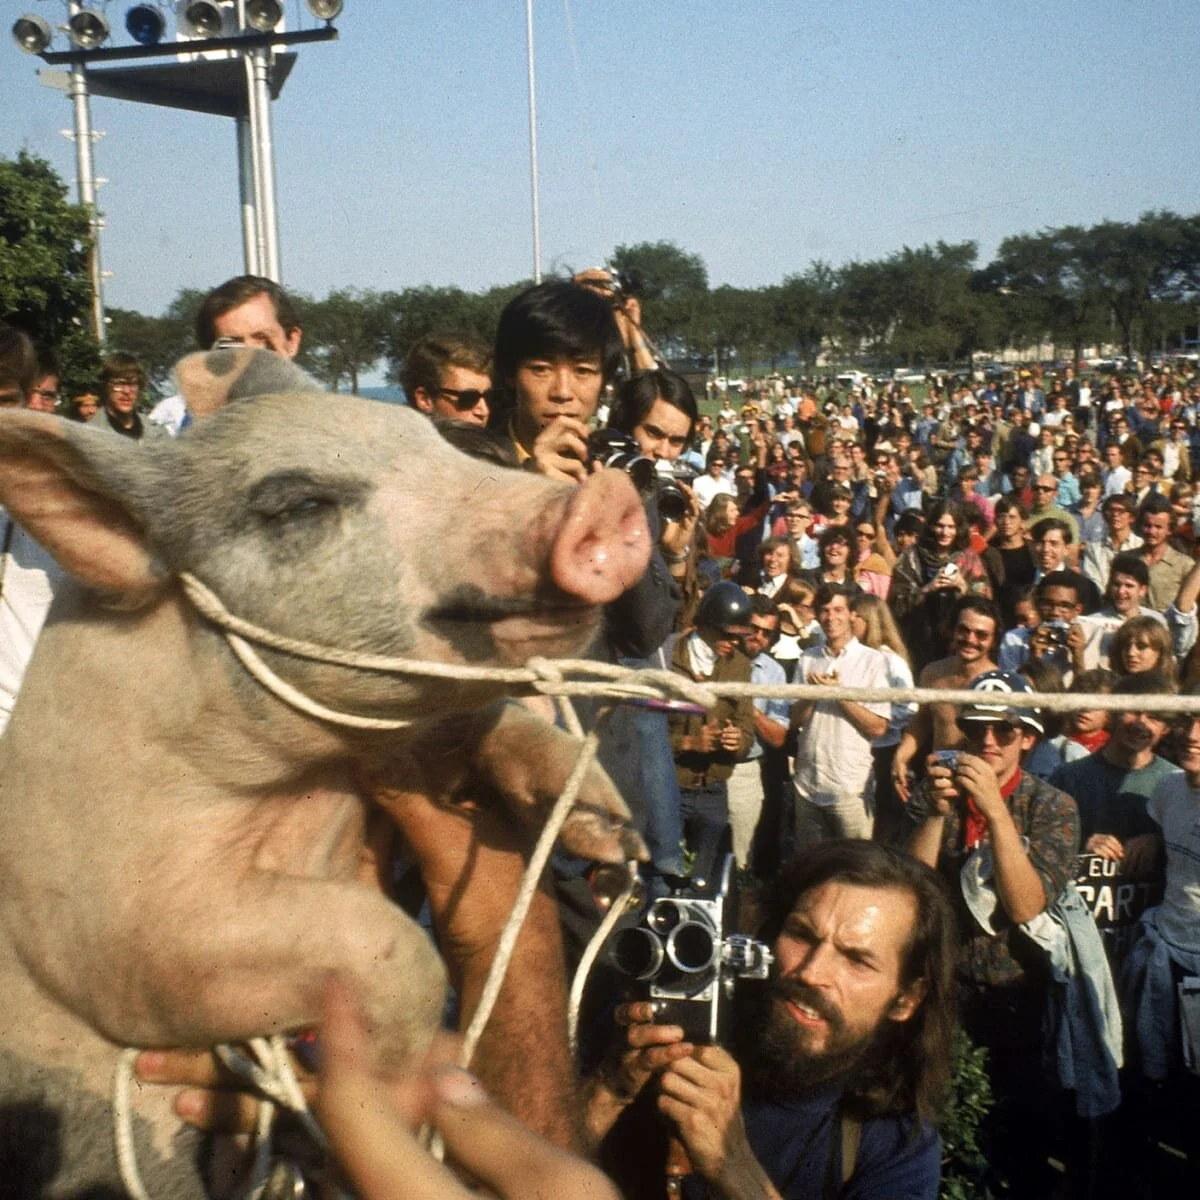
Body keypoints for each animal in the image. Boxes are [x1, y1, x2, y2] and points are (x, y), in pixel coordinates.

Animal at [0, 349, 650, 1197]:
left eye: (435, 442)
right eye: (299, 504)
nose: (606, 498)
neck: (303, 784)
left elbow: (487, 720)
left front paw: (616, 835)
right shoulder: (113, 926)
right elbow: (391, 945)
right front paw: (399, 1084)